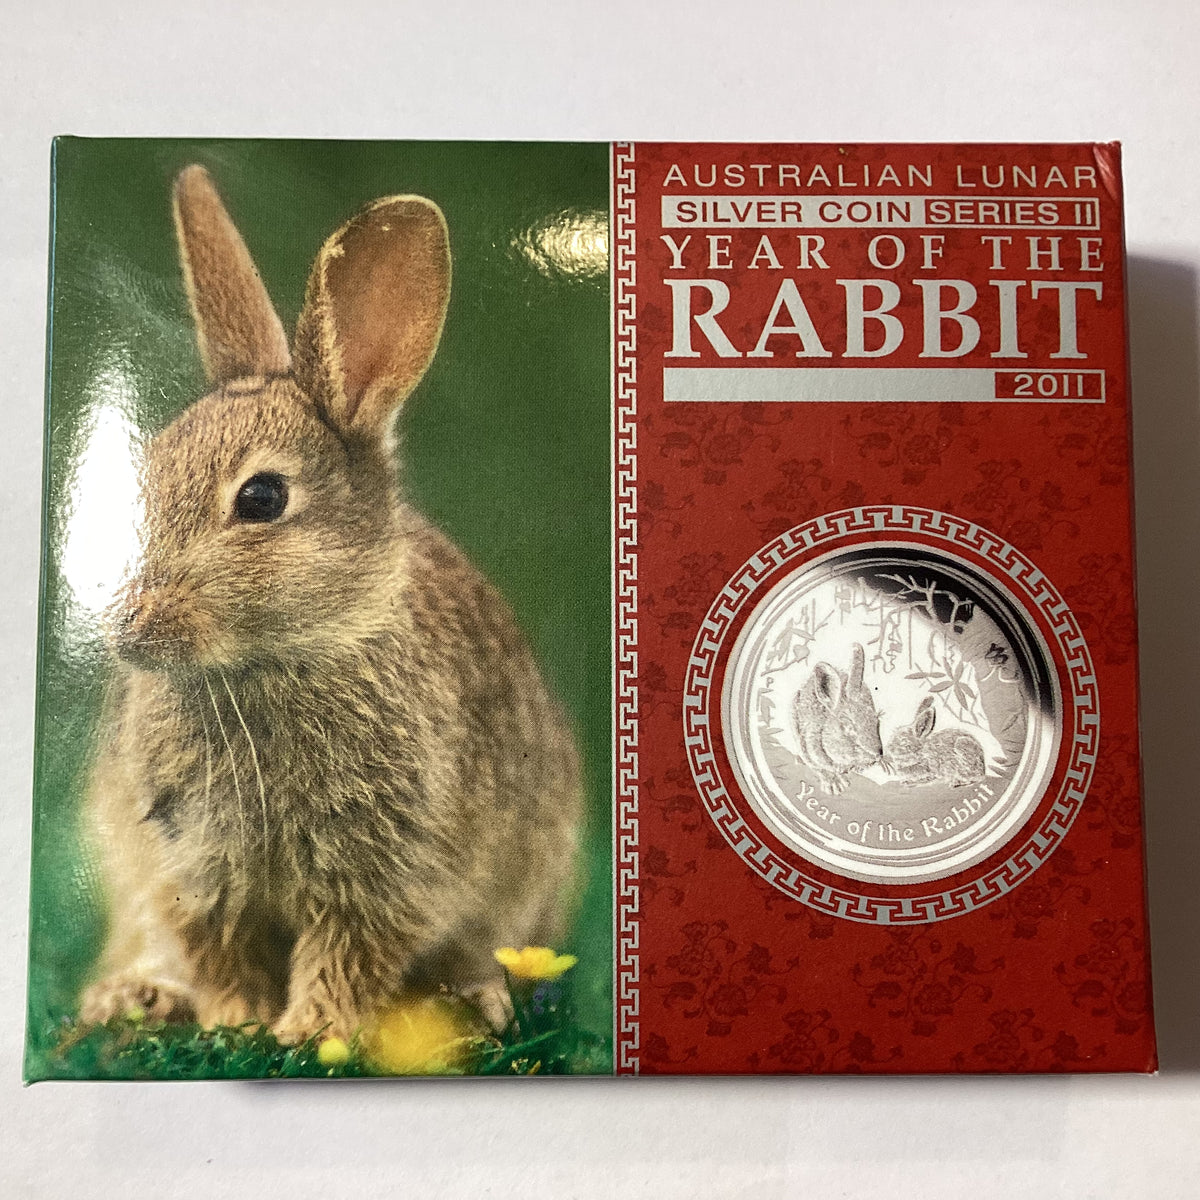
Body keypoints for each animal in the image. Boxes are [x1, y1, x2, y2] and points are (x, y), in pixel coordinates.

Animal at [76, 165, 582, 1044]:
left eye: (262, 498)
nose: (130, 629)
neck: (281, 659)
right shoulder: (190, 865)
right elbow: (220, 947)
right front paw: (237, 1024)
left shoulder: (388, 867)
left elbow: (349, 950)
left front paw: (312, 1035)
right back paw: (135, 999)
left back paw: (480, 999)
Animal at [790, 643, 883, 795]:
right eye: (847, 726)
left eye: (877, 722)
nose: (877, 755)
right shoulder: (807, 748)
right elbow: (821, 769)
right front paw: (835, 785)